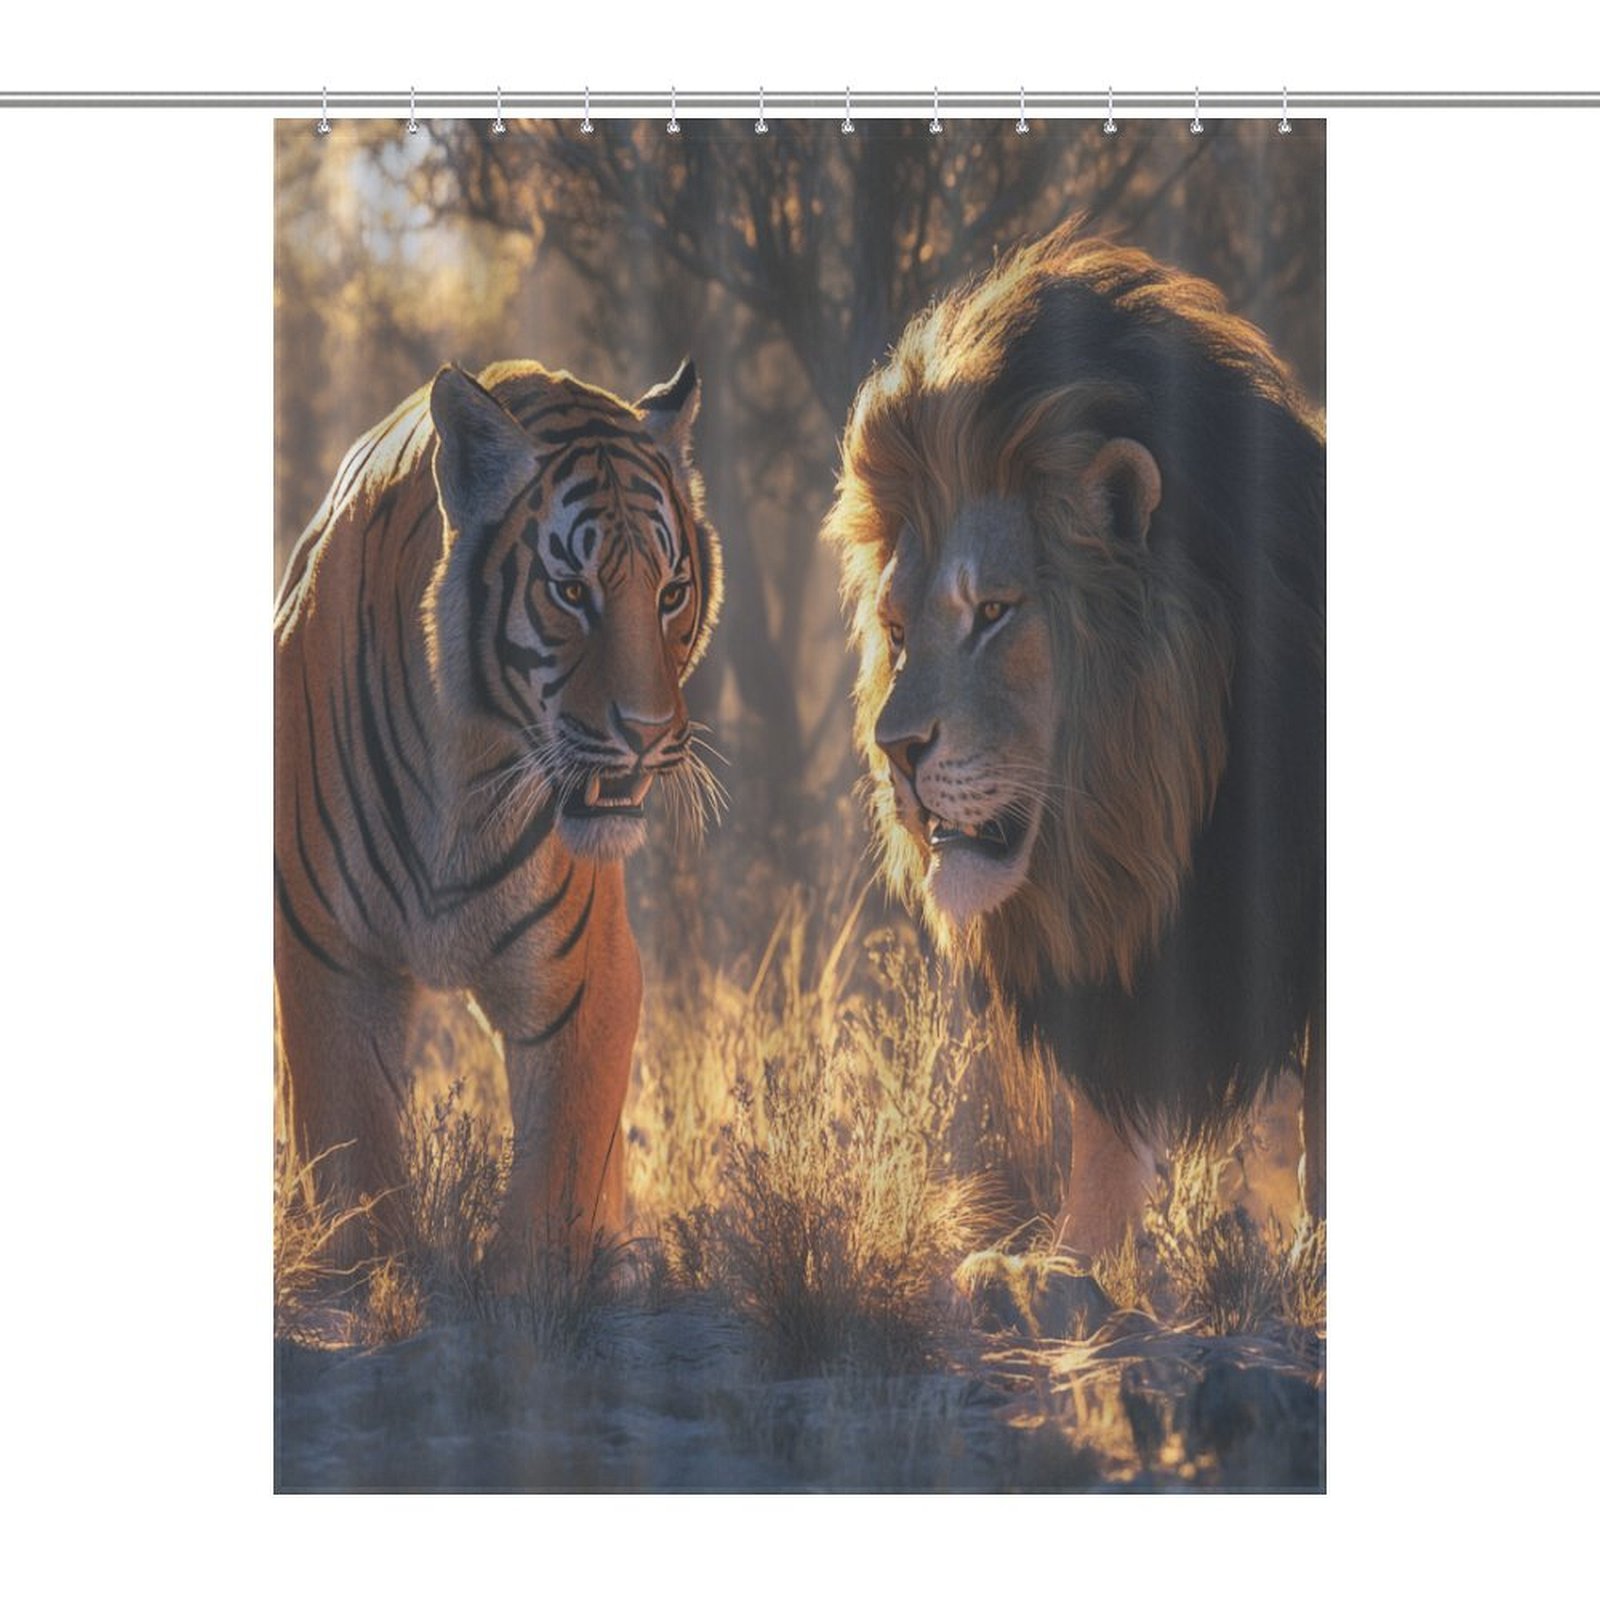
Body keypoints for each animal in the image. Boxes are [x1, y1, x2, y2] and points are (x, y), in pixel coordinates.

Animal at [824, 225, 1325, 1251]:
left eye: (994, 612)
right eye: (897, 630)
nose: (896, 752)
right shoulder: (1106, 956)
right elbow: (1101, 1151)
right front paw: (1066, 1265)